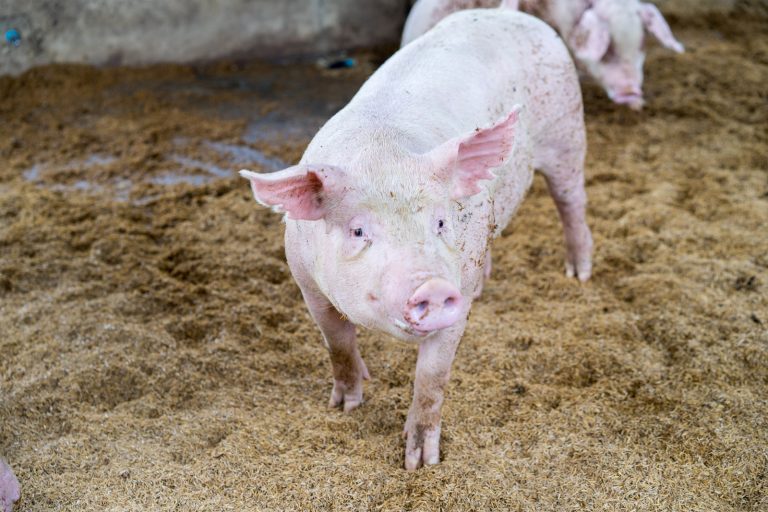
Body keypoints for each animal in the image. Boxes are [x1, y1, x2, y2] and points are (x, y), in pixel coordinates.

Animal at [240, 8, 592, 470]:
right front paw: (345, 406)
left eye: (440, 222)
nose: (435, 287)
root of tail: (509, 12)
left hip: (567, 134)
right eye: (358, 230)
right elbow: (338, 345)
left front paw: (421, 462)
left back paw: (578, 274)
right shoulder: (306, 284)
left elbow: (432, 379)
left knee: (573, 203)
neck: (383, 155)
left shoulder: (455, 310)